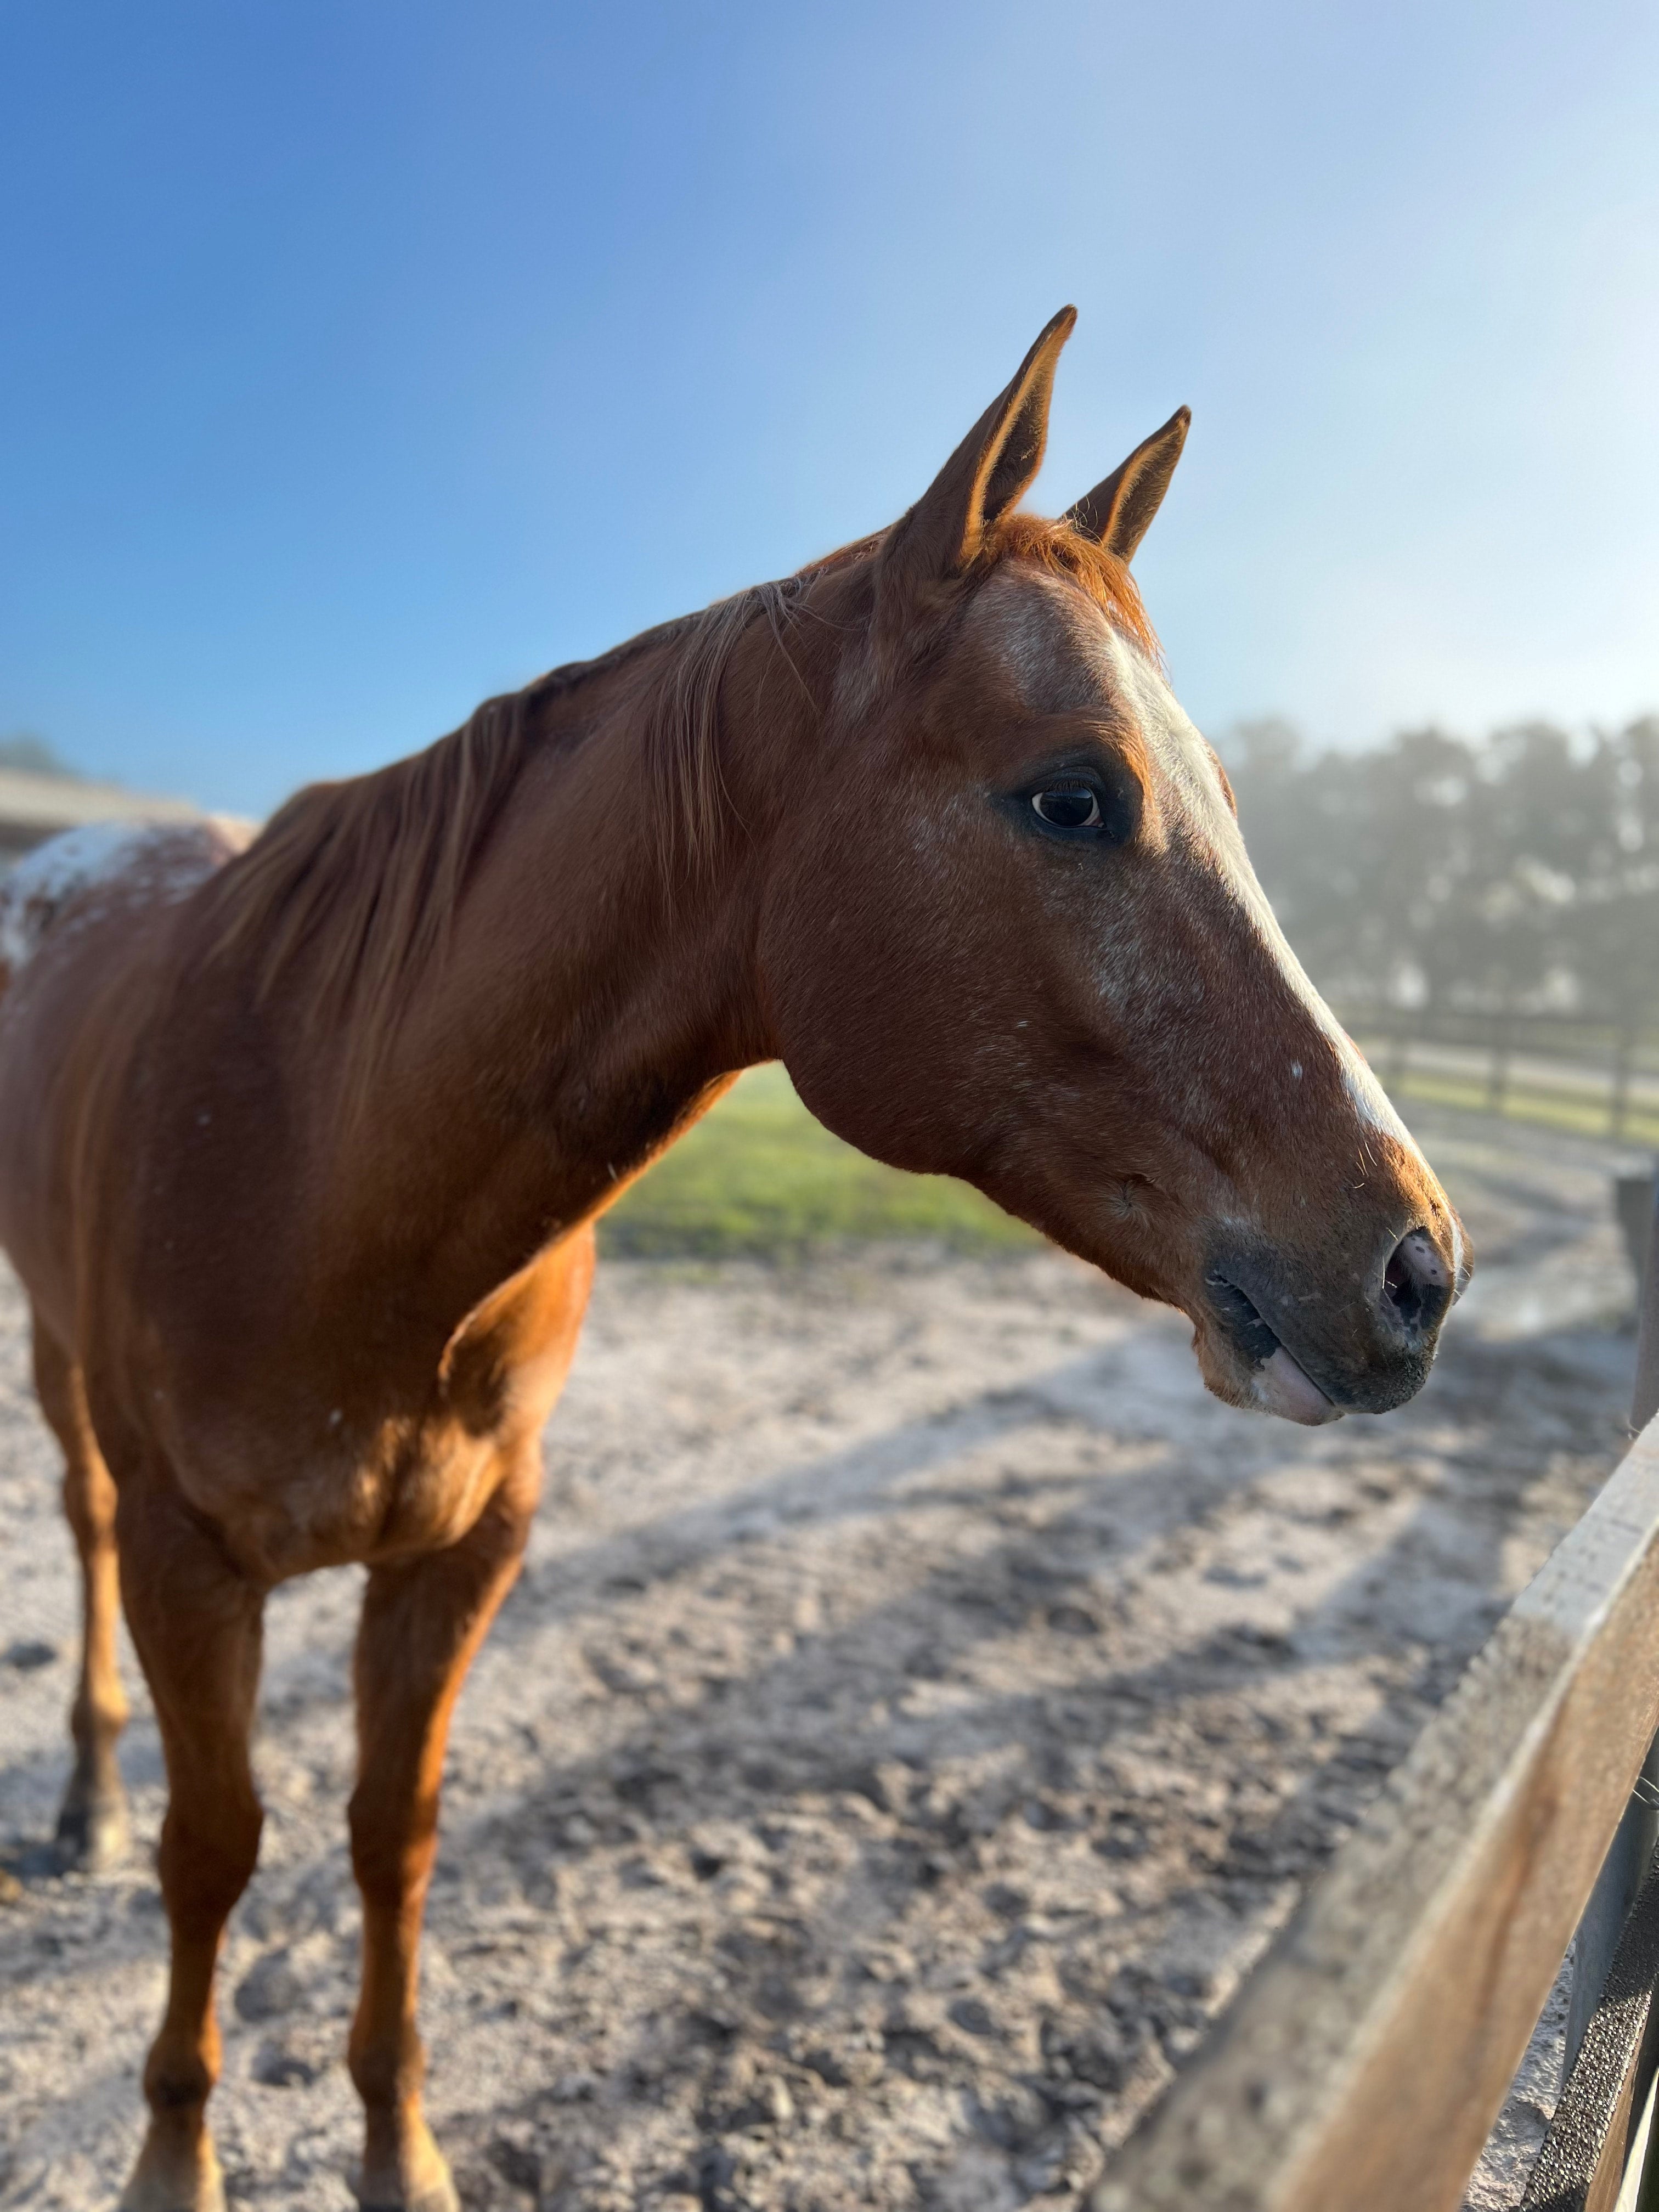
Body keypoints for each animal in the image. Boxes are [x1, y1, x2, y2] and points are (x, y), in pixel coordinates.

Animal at [0, 307, 1466, 2212]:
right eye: (1074, 795)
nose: (1416, 1266)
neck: (328, 1162)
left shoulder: (465, 1552)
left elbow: (393, 1839)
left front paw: (402, 2146)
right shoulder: (197, 1567)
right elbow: (213, 1848)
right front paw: (175, 2152)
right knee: (83, 1531)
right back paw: (84, 1796)